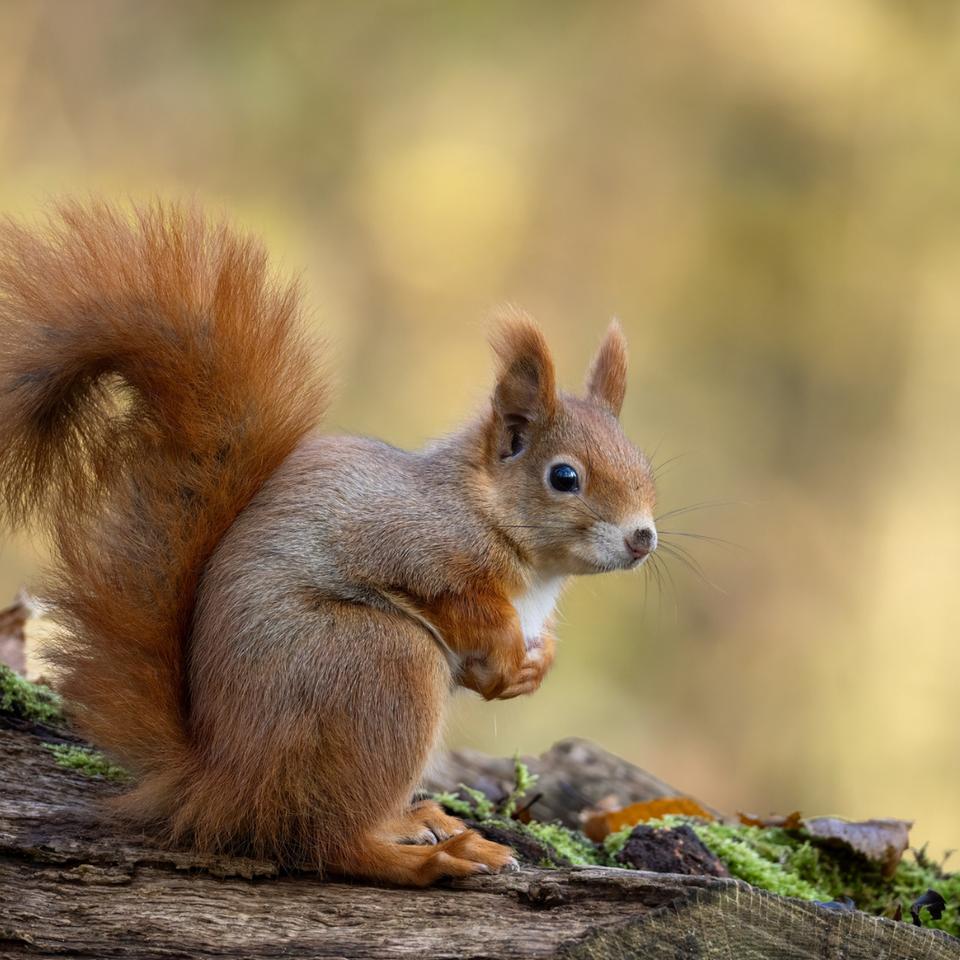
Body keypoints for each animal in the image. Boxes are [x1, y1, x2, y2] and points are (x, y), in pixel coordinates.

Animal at [0, 201, 658, 886]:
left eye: (643, 463)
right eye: (565, 477)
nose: (643, 538)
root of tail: (219, 784)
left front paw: (533, 667)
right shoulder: (413, 544)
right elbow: (457, 602)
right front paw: (506, 653)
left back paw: (418, 819)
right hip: (378, 664)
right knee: (326, 840)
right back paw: (430, 858)